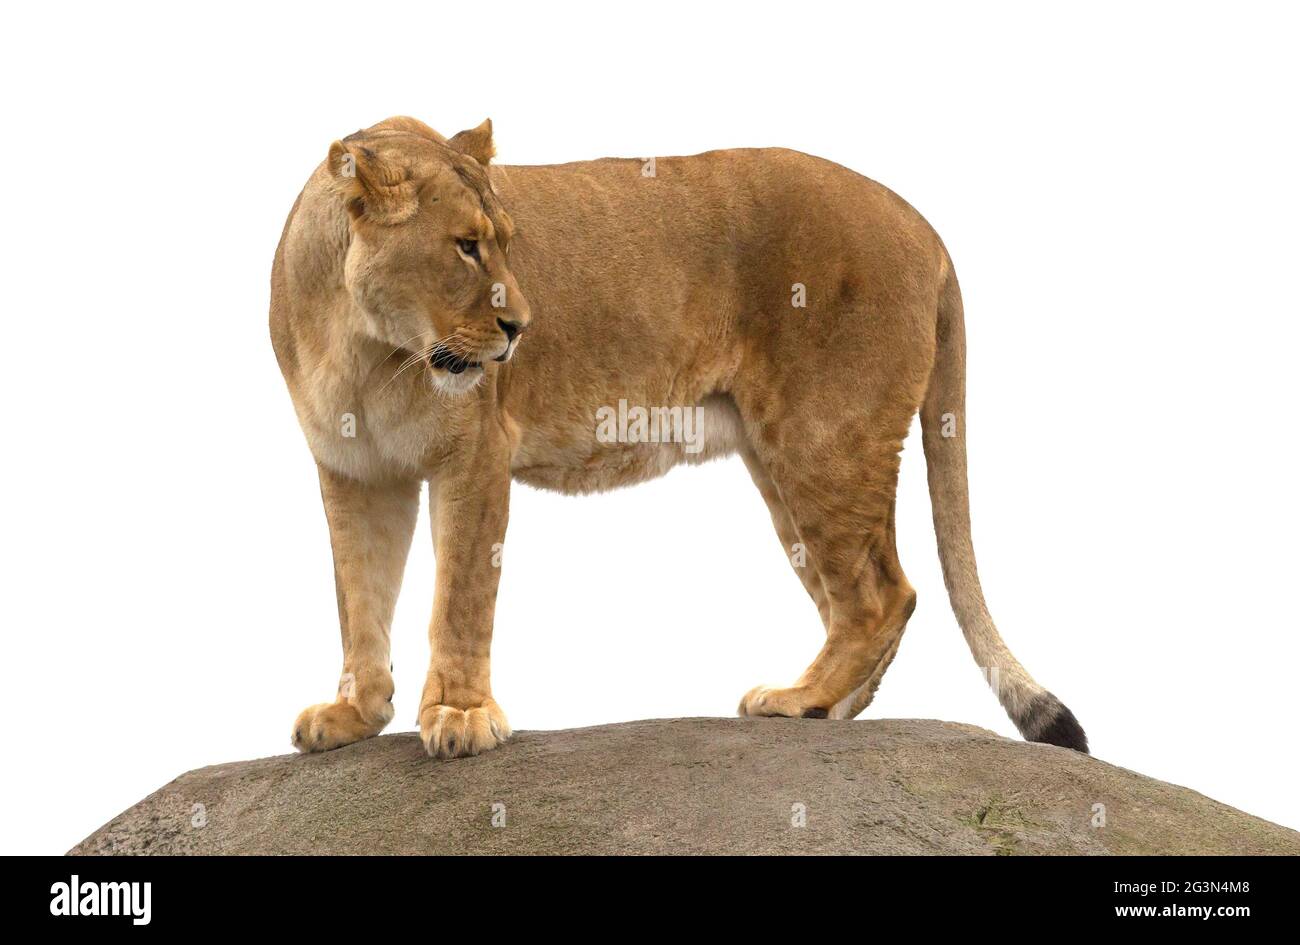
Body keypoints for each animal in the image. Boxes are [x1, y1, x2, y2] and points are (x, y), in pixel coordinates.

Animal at [269, 115, 1087, 759]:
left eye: (505, 244)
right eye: (466, 246)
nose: (521, 327)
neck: (369, 344)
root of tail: (924, 223)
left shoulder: (477, 452)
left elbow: (461, 595)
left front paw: (461, 716)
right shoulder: (354, 470)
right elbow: (359, 593)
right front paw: (354, 712)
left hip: (823, 441)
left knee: (884, 595)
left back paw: (799, 700)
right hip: (784, 463)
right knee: (861, 599)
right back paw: (826, 706)